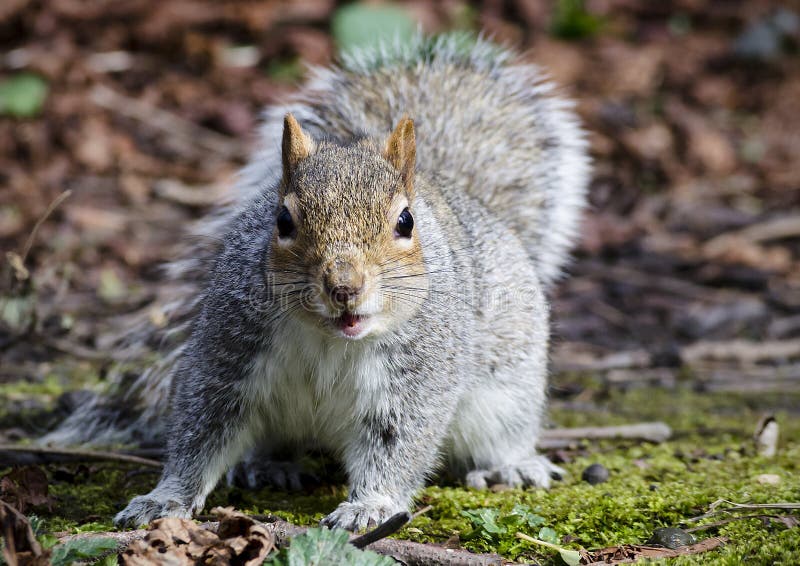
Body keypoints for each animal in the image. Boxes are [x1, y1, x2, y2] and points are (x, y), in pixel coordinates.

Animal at [48, 34, 590, 530]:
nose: (344, 287)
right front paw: (165, 497)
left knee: (502, 430)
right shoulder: (229, 348)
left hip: (508, 387)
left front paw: (370, 506)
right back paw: (269, 466)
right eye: (282, 220)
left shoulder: (419, 369)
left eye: (406, 222)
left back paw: (509, 467)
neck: (331, 339)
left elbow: (399, 438)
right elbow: (201, 428)